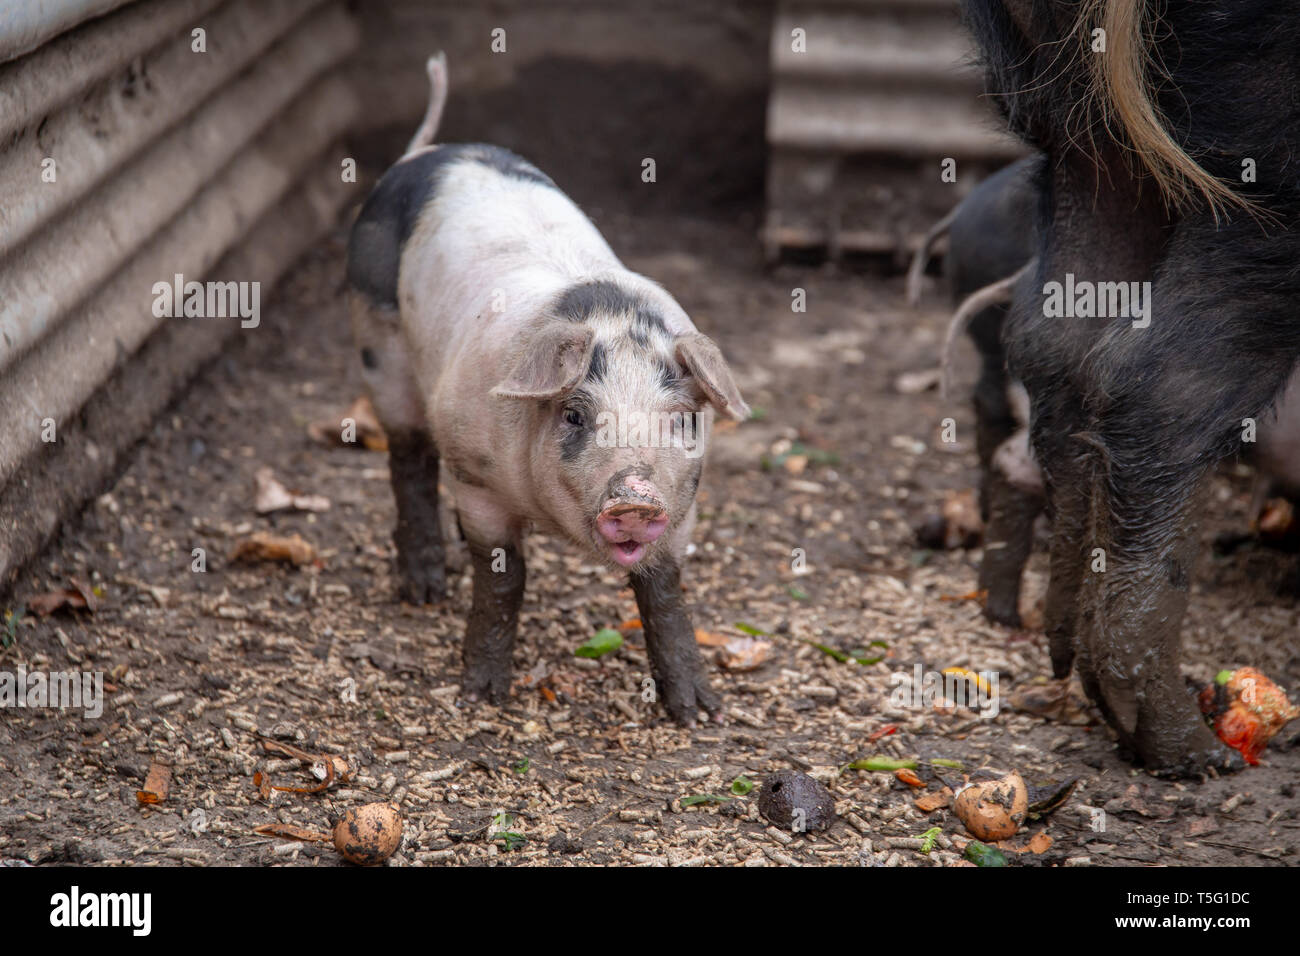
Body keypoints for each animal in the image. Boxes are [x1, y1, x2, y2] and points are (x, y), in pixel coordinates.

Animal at [346, 55, 749, 724]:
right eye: (575, 416)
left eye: (682, 420)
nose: (635, 497)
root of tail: (426, 150)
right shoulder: (477, 477)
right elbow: (504, 581)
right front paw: (480, 695)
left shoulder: (683, 510)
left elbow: (664, 594)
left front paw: (699, 713)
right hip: (378, 345)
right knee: (409, 459)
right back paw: (425, 591)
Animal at [964, 0, 1300, 775]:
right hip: (1263, 155)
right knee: (1160, 386)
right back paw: (1192, 750)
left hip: (1071, 113)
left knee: (1056, 343)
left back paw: (1061, 649)